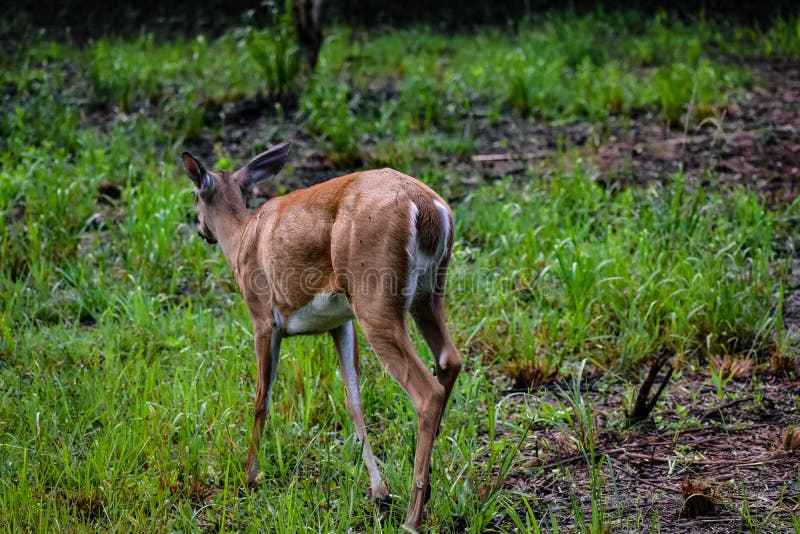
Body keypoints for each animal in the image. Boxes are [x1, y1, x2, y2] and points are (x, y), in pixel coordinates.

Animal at [180, 141, 462, 530]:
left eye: (194, 195)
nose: (200, 231)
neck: (240, 239)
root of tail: (427, 207)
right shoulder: (339, 322)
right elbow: (353, 401)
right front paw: (380, 493)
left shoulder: (263, 316)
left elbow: (261, 399)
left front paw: (250, 476)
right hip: (428, 294)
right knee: (450, 360)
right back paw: (428, 486)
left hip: (376, 298)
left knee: (427, 391)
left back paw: (412, 518)